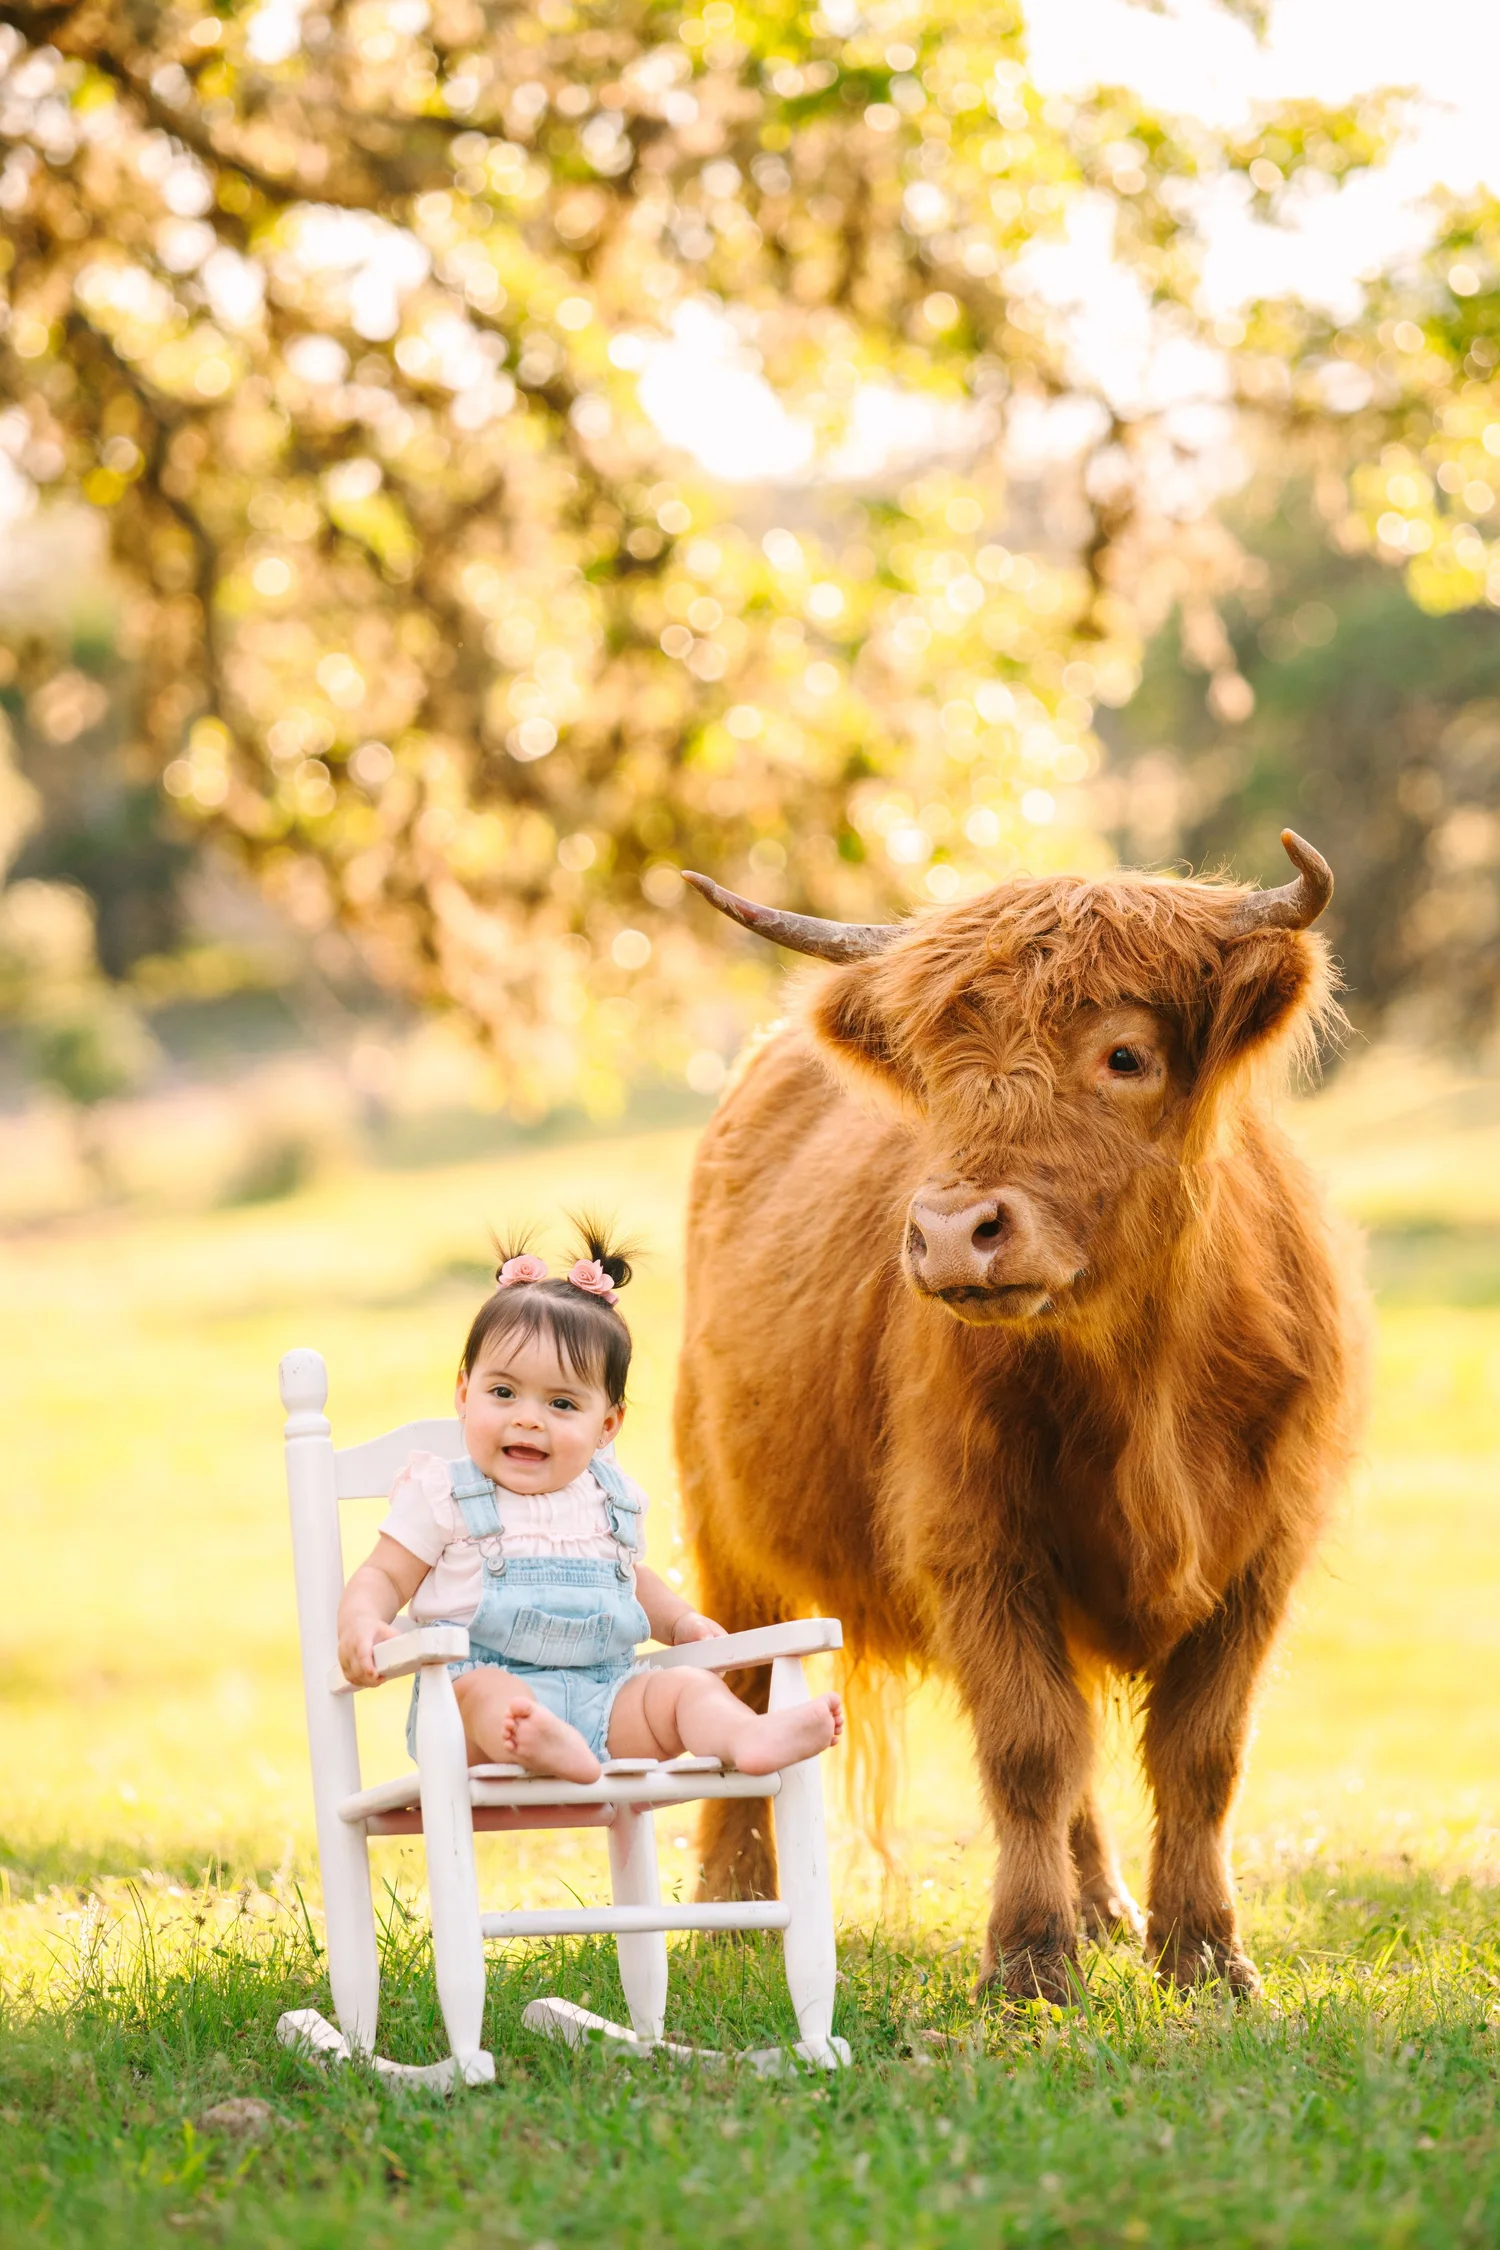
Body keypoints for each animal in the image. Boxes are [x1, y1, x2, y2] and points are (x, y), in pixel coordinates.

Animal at [673, 832, 1366, 2002]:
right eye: (939, 1070)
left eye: (1125, 1056)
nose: (957, 1231)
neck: (1144, 1383)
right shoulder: (973, 1537)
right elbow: (1030, 1745)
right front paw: (1032, 1961)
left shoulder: (1266, 1550)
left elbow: (1201, 1753)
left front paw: (1202, 1954)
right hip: (725, 1529)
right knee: (741, 1681)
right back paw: (731, 1912)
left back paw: (1104, 1909)